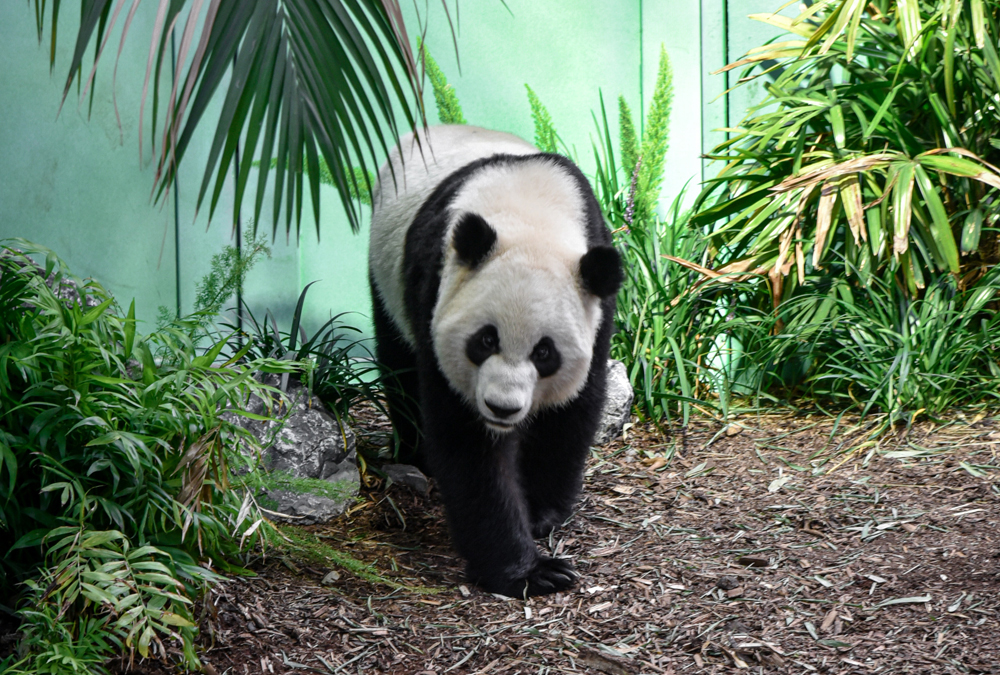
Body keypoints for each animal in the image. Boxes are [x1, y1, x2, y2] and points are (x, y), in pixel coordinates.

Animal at [368, 125, 622, 597]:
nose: (502, 408)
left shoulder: (596, 307)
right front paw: (531, 571)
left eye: (544, 353)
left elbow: (571, 411)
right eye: (485, 340)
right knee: (399, 363)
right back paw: (415, 453)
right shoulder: (435, 287)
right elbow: (468, 442)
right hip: (384, 273)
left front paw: (541, 513)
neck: (531, 214)